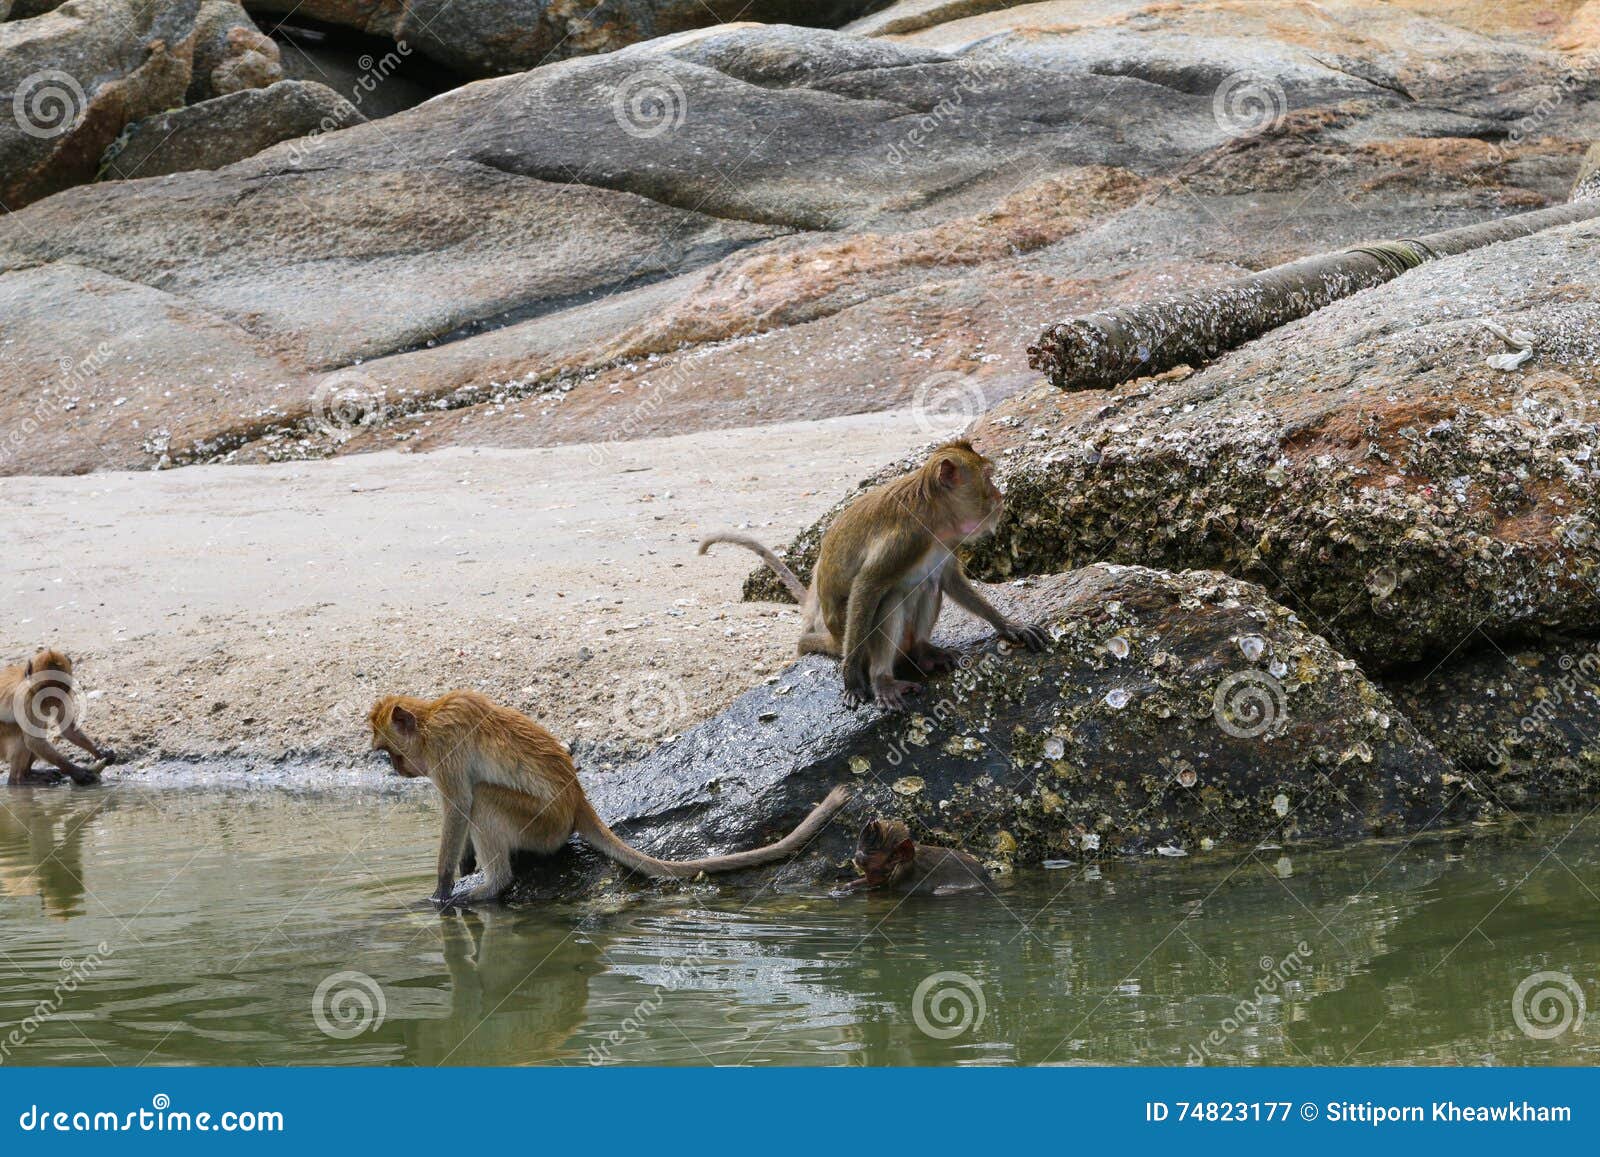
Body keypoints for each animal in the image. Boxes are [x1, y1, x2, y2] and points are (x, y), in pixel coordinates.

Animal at [0, 651, 115, 787]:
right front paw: (77, 772)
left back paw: (31, 773)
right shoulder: (24, 698)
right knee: (21, 736)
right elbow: (33, 741)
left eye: (59, 687)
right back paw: (19, 780)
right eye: (46, 688)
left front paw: (100, 752)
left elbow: (68, 728)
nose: (53, 700)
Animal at [368, 690, 851, 906]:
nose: (397, 767)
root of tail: (578, 799)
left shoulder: (445, 751)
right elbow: (460, 807)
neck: (430, 719)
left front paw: (442, 888)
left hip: (543, 826)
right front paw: (463, 866)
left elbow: (459, 806)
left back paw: (493, 886)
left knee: (485, 799)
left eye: (390, 751)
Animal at [700, 439, 1049, 710]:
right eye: (987, 478)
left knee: (928, 585)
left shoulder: (947, 540)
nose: (999, 497)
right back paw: (882, 679)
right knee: (890, 598)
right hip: (866, 644)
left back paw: (923, 652)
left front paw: (1010, 626)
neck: (933, 514)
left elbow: (949, 580)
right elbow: (867, 587)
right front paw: (852, 680)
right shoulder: (905, 539)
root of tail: (833, 638)